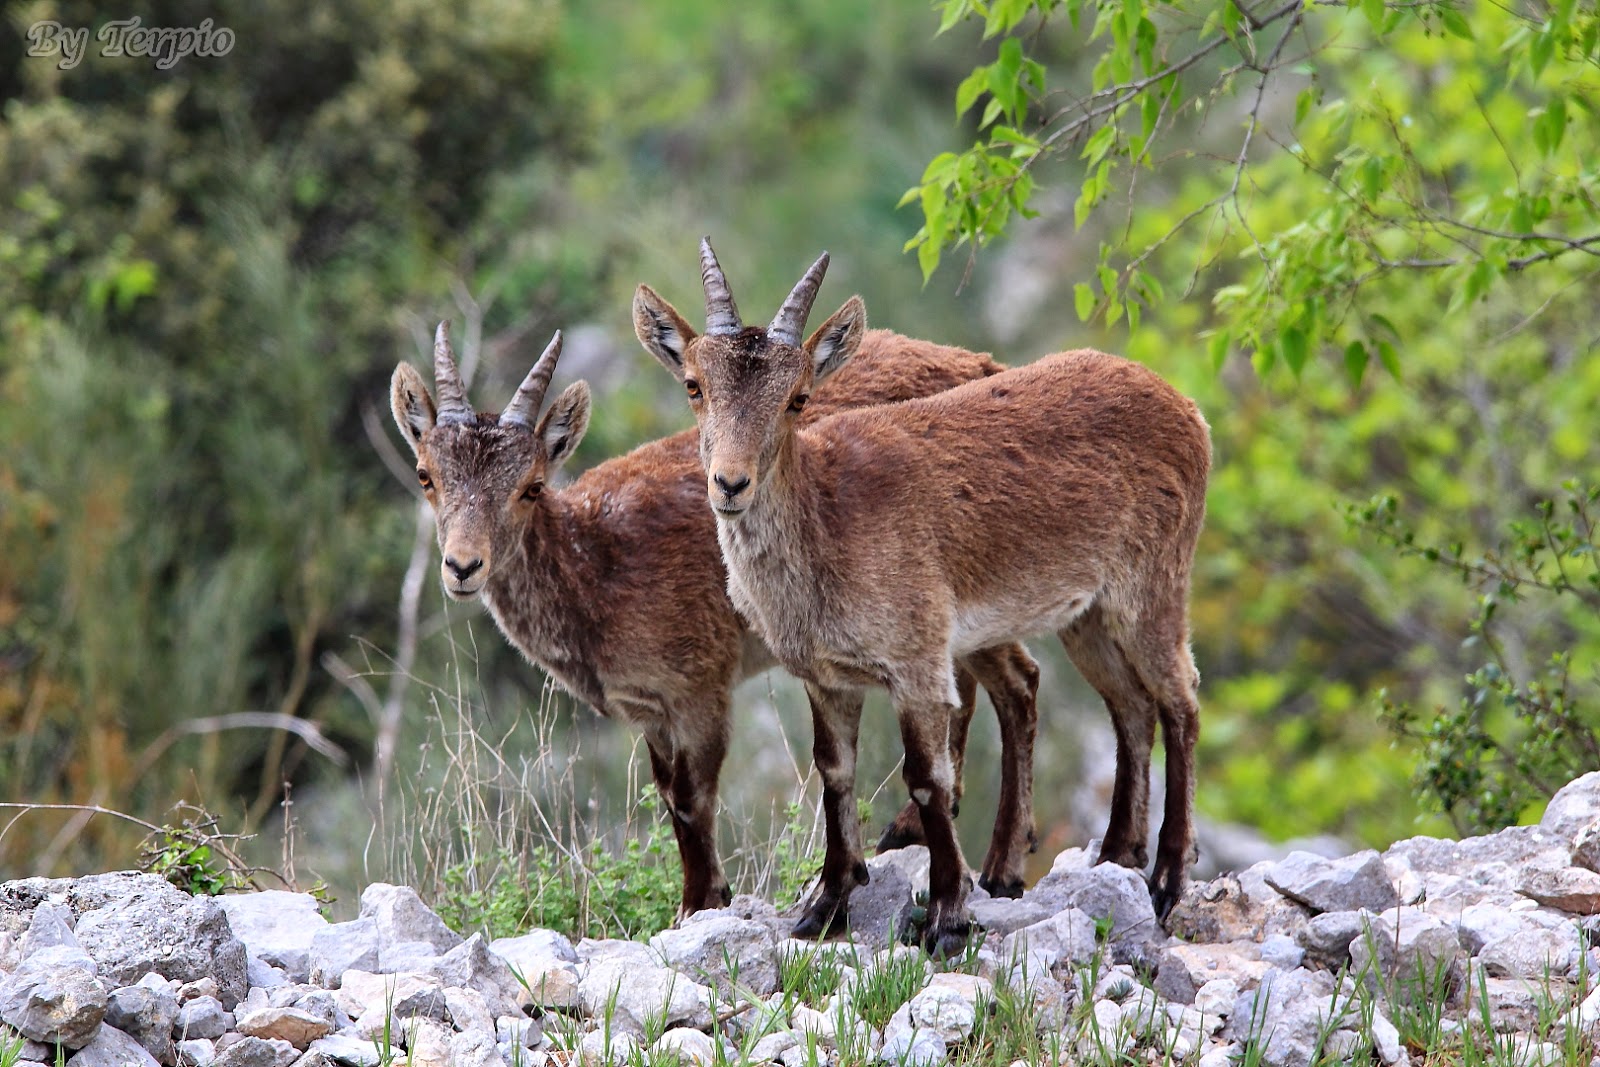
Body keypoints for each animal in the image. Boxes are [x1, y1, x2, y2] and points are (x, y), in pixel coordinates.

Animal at [390, 320, 1041, 921]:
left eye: (530, 486)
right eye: (426, 476)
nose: (463, 566)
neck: (595, 566)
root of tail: (982, 363)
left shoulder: (699, 683)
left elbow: (691, 797)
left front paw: (699, 904)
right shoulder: (650, 710)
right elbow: (667, 794)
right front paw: (707, 896)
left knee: (1009, 680)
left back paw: (987, 860)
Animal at [634, 241, 1210, 955]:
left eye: (798, 398)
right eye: (694, 385)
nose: (730, 483)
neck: (828, 522)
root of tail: (1187, 407)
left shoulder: (917, 663)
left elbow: (928, 778)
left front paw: (946, 917)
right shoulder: (827, 678)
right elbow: (834, 772)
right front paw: (825, 908)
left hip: (1153, 584)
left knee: (1180, 699)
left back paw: (1165, 879)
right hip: (1088, 614)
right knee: (1130, 705)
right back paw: (1112, 856)